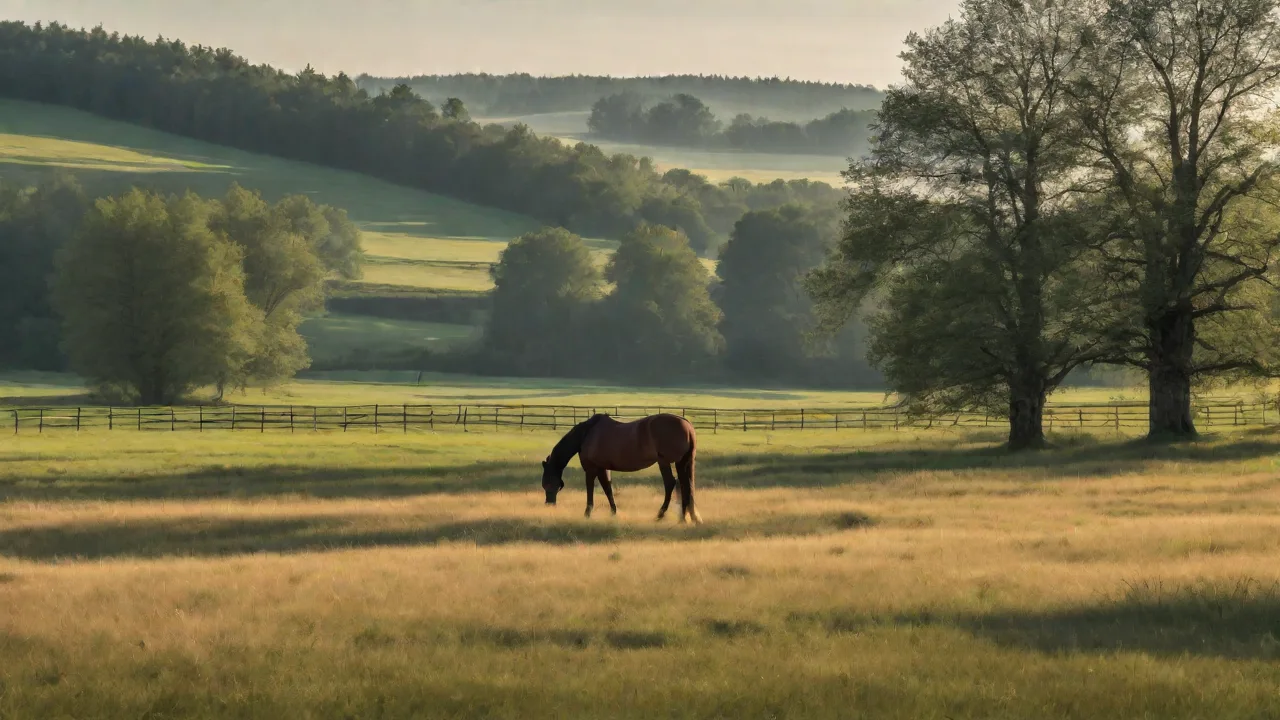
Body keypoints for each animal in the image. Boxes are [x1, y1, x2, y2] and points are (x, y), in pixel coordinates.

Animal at [541, 413, 702, 524]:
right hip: (682, 462)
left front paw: (587, 513)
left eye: (547, 483)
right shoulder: (604, 469)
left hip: (665, 462)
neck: (586, 434)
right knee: (685, 485)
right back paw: (684, 517)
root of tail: (687, 426)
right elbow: (608, 489)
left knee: (671, 483)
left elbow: (590, 490)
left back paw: (661, 515)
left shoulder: (591, 469)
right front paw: (614, 512)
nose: (549, 504)